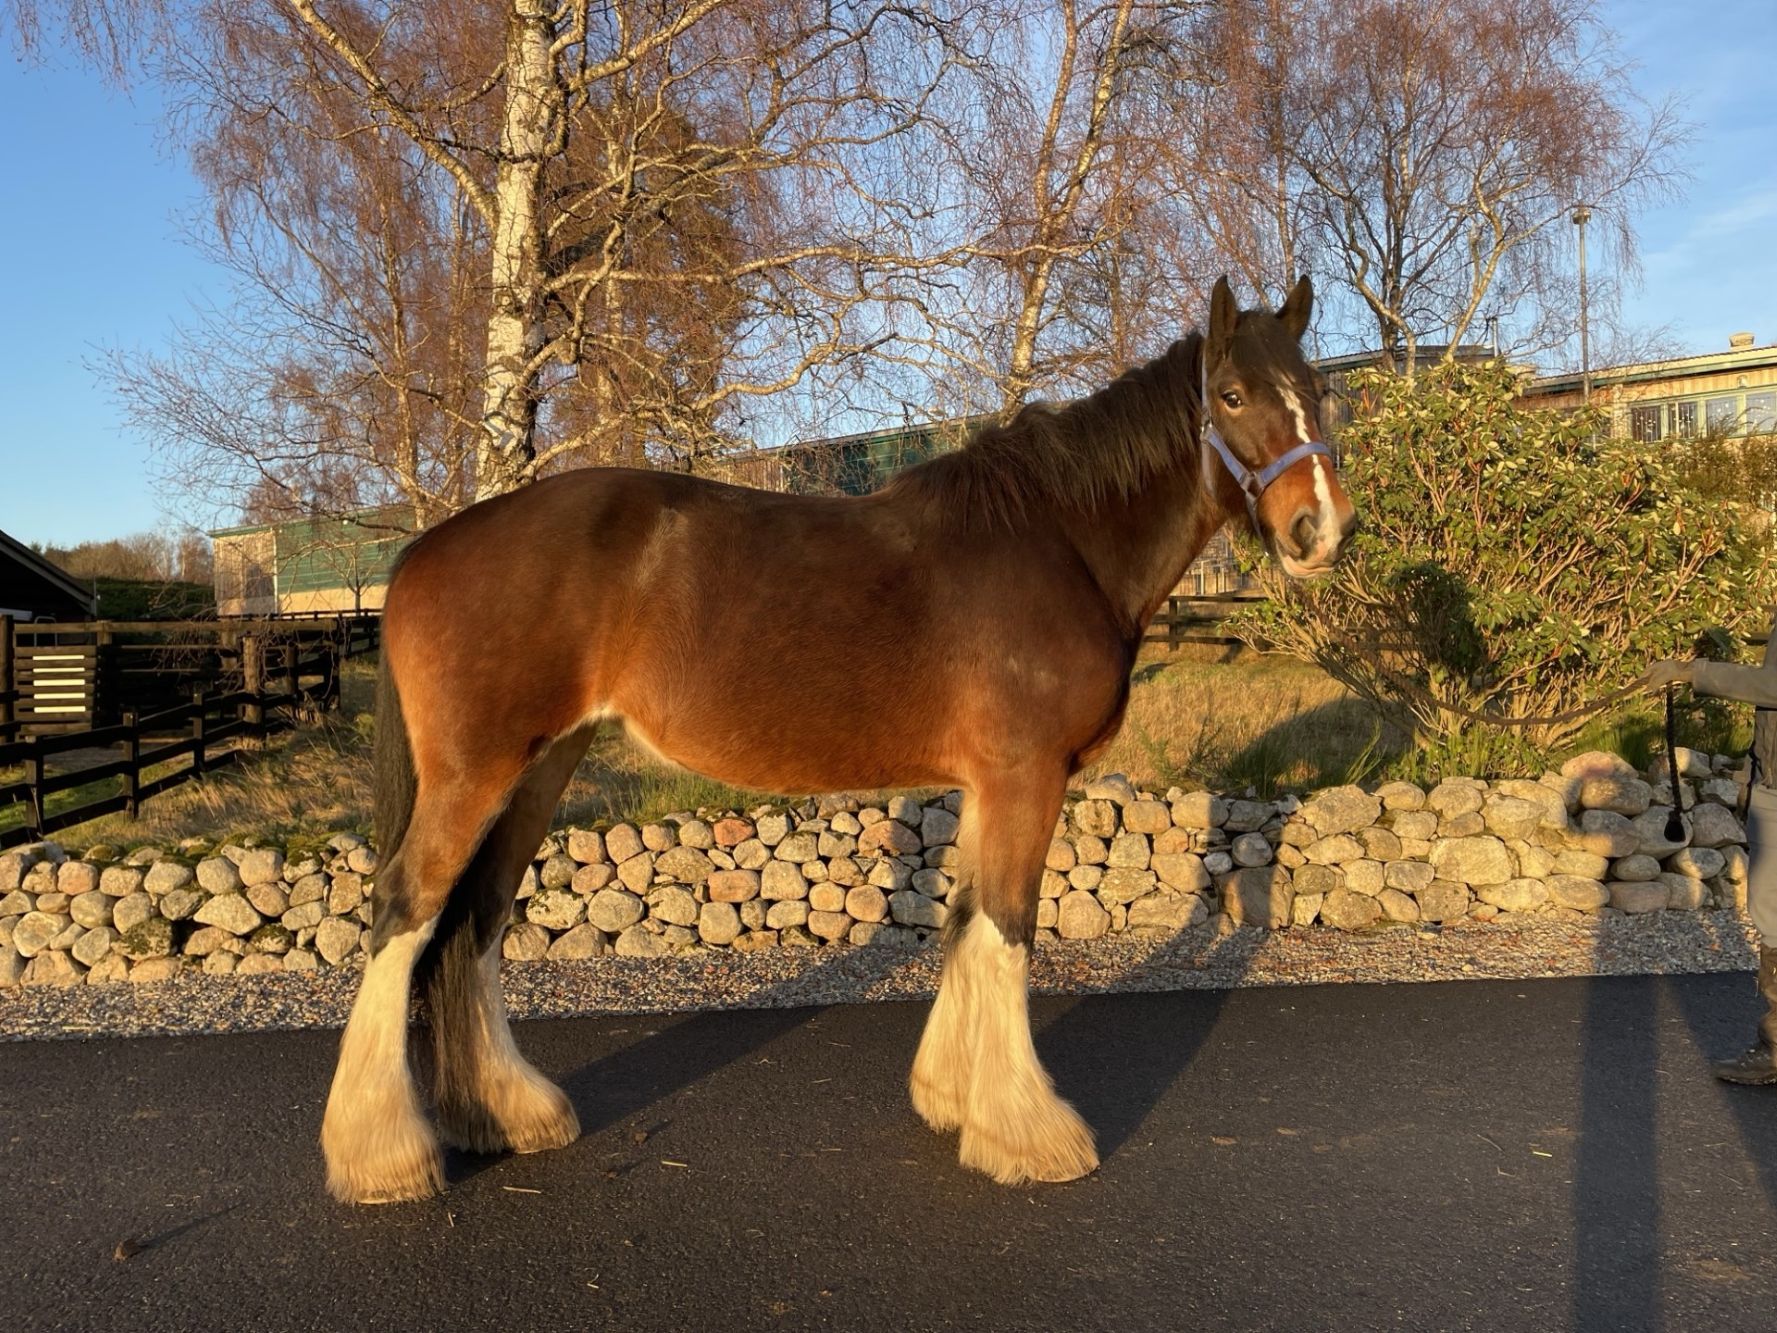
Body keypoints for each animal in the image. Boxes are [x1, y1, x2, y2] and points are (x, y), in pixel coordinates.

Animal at [321, 274, 1358, 1203]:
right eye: (1232, 396)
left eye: (1317, 392)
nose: (1322, 530)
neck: (1060, 541)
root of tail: (425, 549)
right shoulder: (1025, 777)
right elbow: (1007, 926)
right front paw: (1028, 1133)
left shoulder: (985, 783)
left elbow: (964, 919)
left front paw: (953, 1100)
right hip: (477, 773)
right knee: (406, 908)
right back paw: (381, 1156)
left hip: (539, 767)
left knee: (475, 918)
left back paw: (509, 1113)